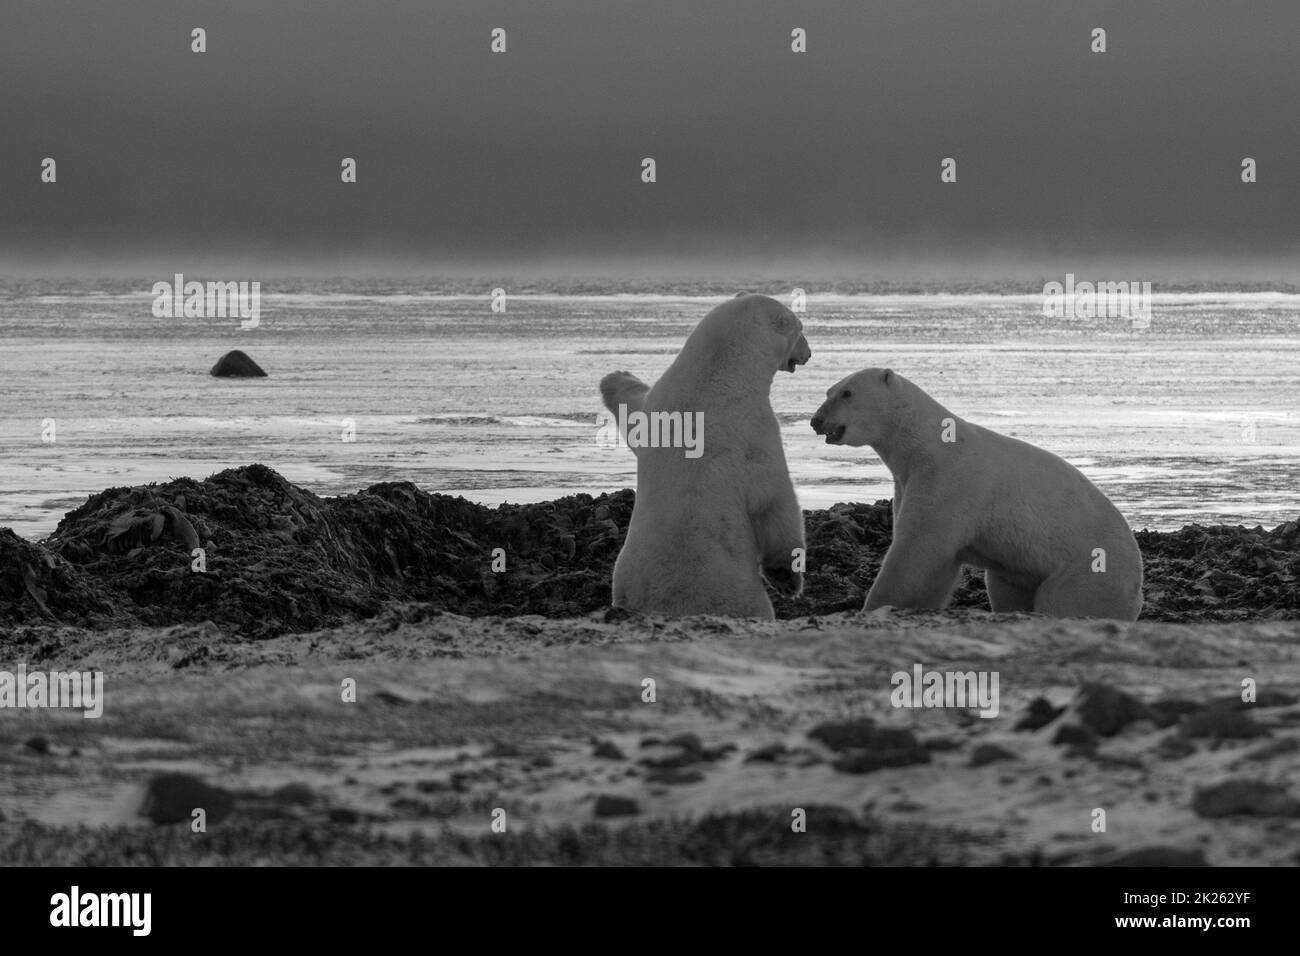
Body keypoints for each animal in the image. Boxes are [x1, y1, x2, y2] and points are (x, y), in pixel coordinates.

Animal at [598, 293, 811, 618]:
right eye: (800, 329)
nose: (808, 353)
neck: (716, 375)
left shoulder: (662, 401)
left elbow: (635, 412)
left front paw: (615, 377)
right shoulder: (753, 431)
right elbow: (775, 499)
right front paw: (788, 579)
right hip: (734, 592)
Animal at [811, 368, 1143, 620]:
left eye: (847, 393)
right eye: (828, 391)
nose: (816, 420)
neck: (923, 444)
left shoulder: (948, 480)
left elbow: (917, 550)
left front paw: (873, 607)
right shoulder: (908, 482)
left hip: (1089, 568)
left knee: (1065, 600)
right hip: (1022, 572)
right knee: (1005, 587)